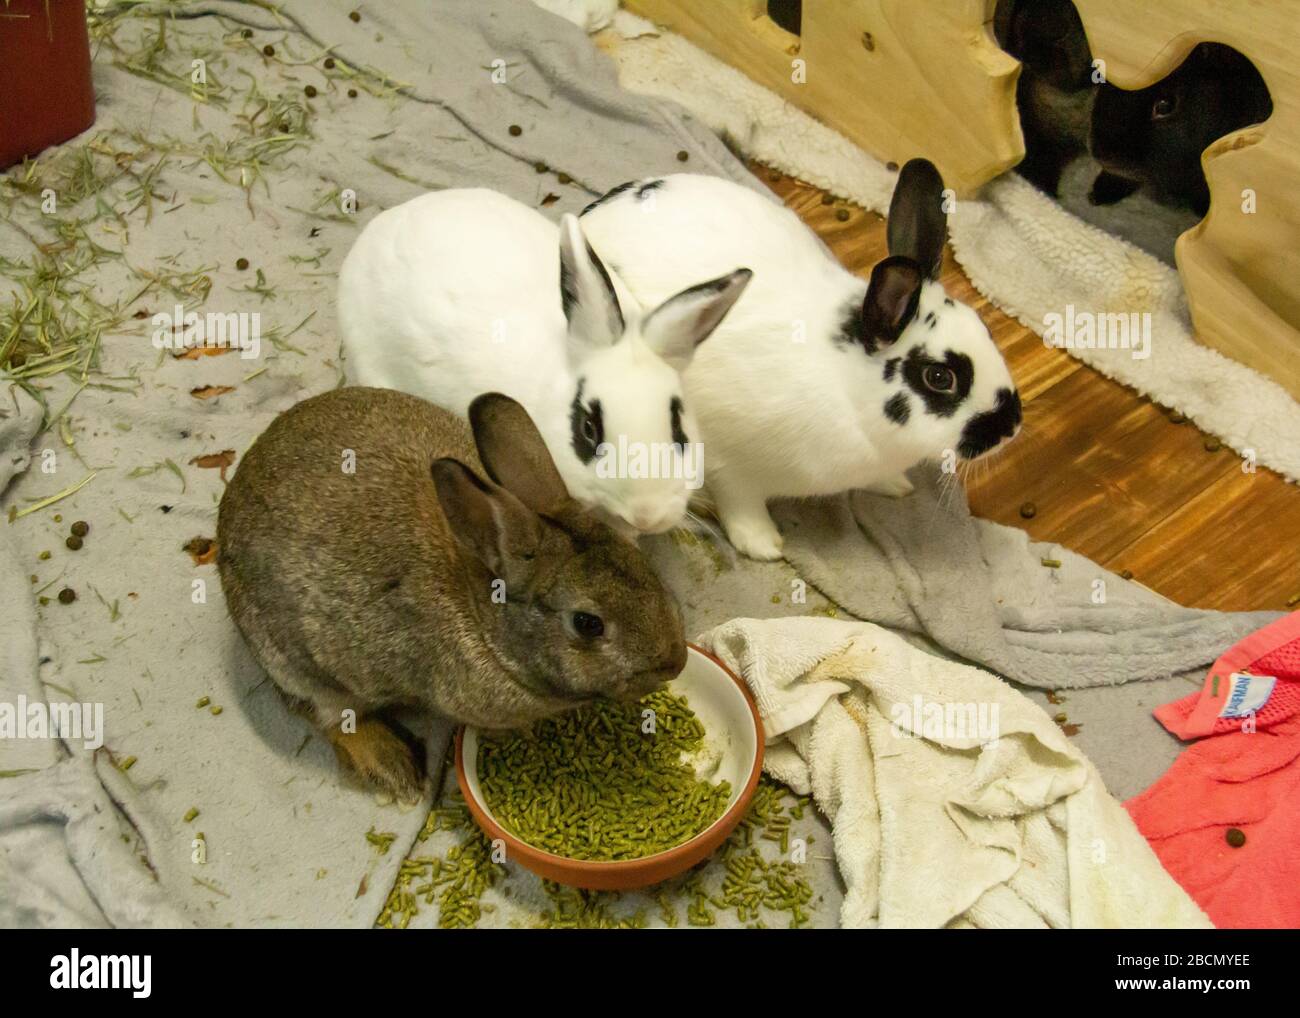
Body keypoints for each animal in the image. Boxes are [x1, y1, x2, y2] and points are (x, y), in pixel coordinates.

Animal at [216, 387, 688, 801]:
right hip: (298, 666)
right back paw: (395, 772)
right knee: (329, 717)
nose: (676, 662)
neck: (485, 617)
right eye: (588, 624)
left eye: (639, 561)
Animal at [579, 160, 1022, 560]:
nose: (1012, 428)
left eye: (986, 329)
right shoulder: (728, 460)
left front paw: (896, 485)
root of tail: (589, 217)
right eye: (939, 377)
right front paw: (763, 545)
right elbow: (739, 500)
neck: (848, 392)